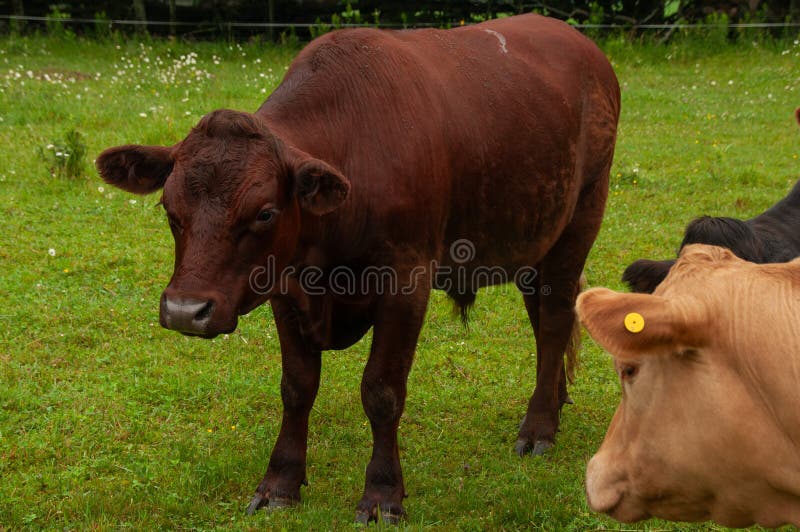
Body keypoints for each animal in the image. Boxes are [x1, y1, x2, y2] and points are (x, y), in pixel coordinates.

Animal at [96, 14, 620, 522]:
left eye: (265, 212)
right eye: (169, 208)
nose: (186, 311)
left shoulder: (406, 282)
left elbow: (382, 391)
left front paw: (383, 493)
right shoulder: (284, 286)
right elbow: (297, 387)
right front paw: (280, 483)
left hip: (582, 216)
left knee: (554, 320)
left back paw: (539, 426)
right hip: (537, 235)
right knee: (544, 317)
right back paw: (555, 399)